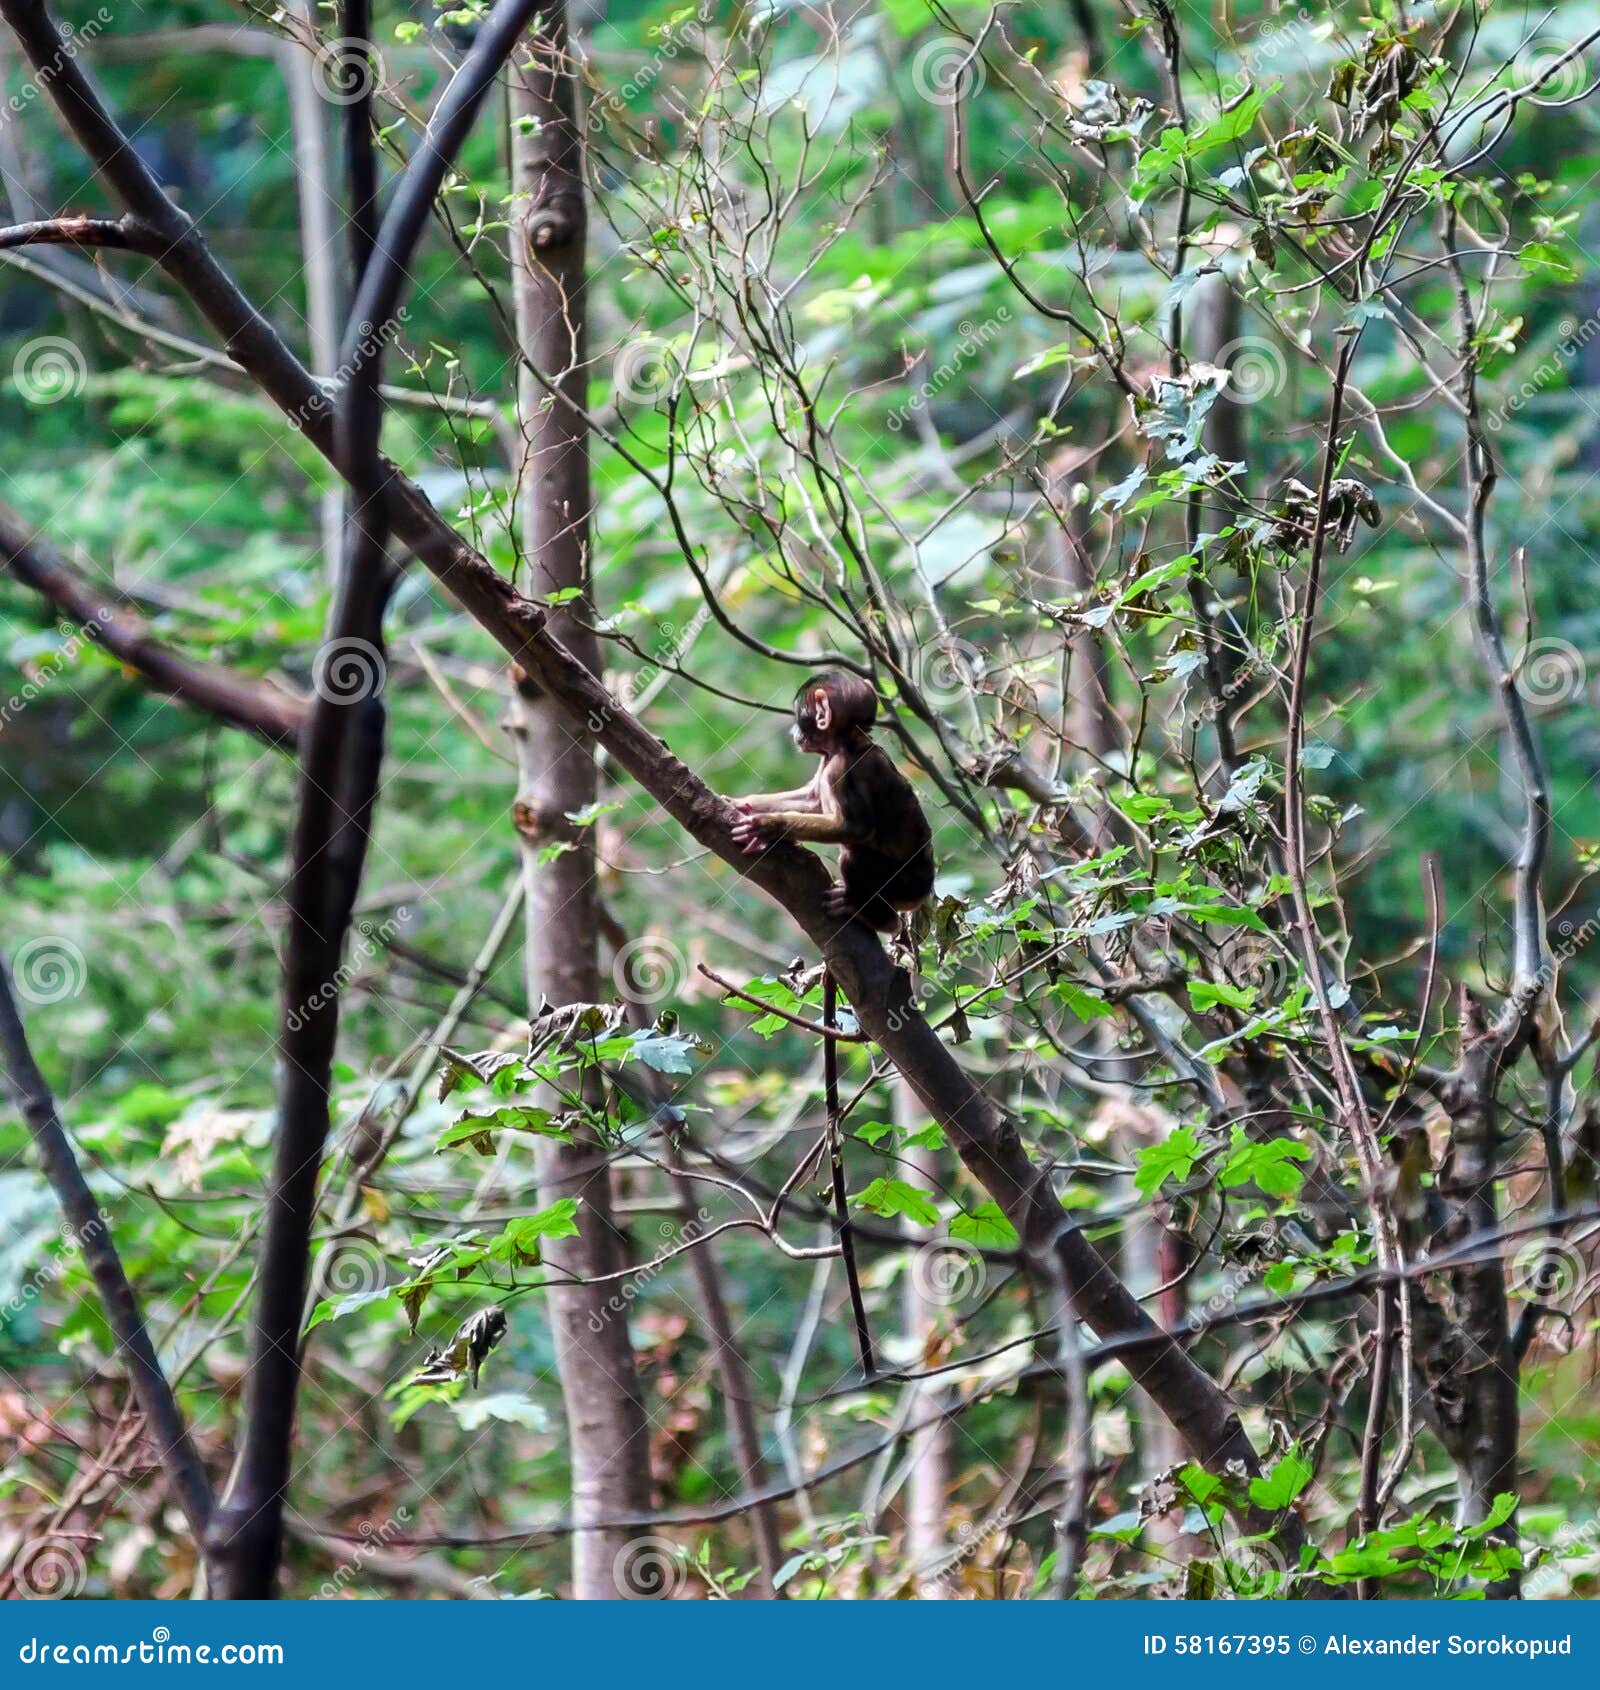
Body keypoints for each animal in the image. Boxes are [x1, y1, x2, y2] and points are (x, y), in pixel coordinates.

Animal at [728, 672, 934, 932]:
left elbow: (856, 829)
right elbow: (812, 799)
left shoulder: (839, 768)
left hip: (904, 885)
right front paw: (744, 804)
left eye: (800, 717)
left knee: (854, 858)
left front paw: (770, 826)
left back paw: (879, 919)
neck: (848, 743)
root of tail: (923, 893)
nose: (793, 732)